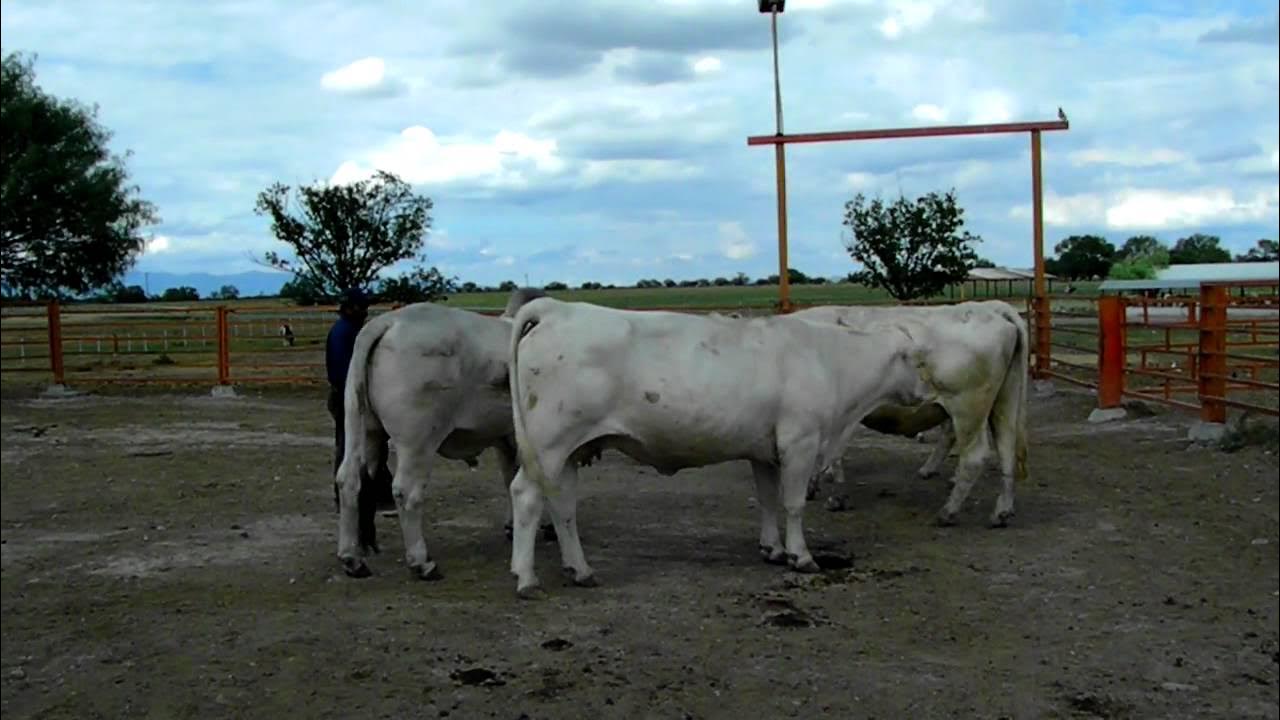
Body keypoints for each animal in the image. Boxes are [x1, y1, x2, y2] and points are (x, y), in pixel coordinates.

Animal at [334, 289, 553, 580]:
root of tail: (387, 322)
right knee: (406, 492)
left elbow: (510, 480)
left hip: (364, 431)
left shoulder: (505, 439)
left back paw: (352, 558)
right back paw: (422, 562)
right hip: (417, 442)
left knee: (350, 480)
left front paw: (513, 526)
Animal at [501, 296, 975, 599]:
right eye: (918, 360)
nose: (931, 394)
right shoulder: (800, 441)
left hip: (570, 451)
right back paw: (526, 578)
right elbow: (793, 504)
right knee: (526, 497)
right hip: (550, 441)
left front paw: (773, 549)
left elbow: (767, 500)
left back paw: (579, 570)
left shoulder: (764, 449)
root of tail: (557, 308)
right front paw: (801, 556)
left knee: (562, 505)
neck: (831, 361)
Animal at [791, 301, 1030, 521]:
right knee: (1006, 449)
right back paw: (1002, 511)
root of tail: (991, 308)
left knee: (974, 456)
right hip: (1005, 400)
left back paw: (948, 511)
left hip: (967, 407)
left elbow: (828, 453)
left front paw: (828, 493)